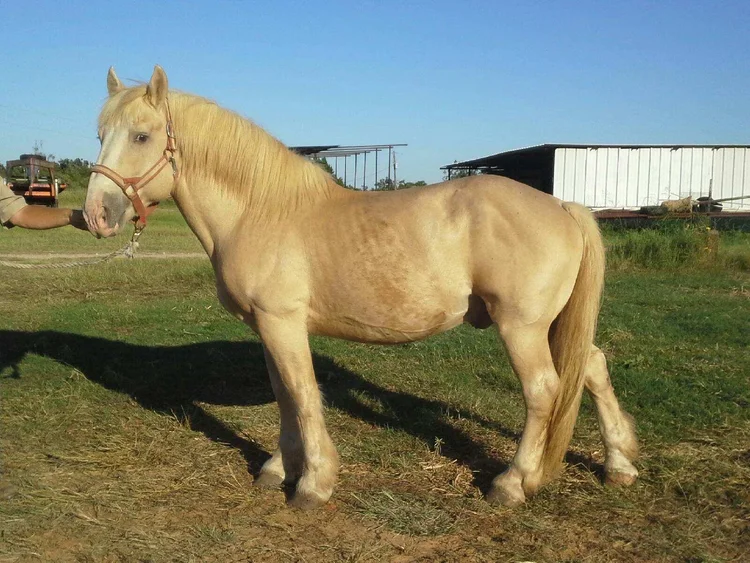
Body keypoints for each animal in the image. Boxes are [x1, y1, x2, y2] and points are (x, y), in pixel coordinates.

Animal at [84, 66, 639, 509]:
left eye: (141, 136)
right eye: (100, 134)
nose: (97, 215)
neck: (260, 210)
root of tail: (561, 205)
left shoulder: (282, 322)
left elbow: (303, 394)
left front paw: (313, 484)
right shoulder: (269, 327)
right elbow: (284, 394)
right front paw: (277, 470)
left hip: (521, 327)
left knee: (543, 390)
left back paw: (513, 482)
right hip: (551, 323)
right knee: (591, 366)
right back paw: (619, 465)